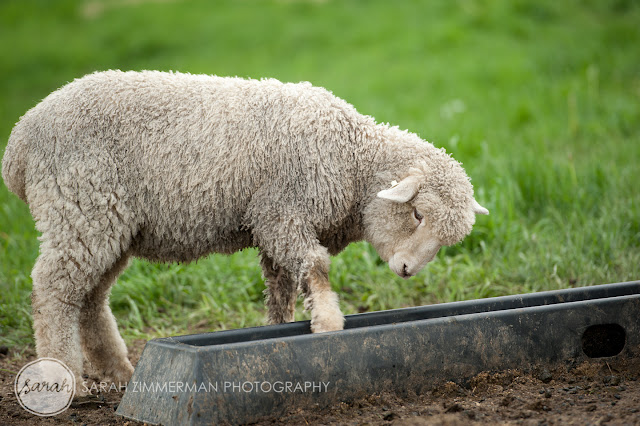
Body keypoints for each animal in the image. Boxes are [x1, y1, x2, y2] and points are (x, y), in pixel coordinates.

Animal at [2, 70, 488, 394]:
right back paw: (62, 376)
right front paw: (329, 323)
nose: (407, 269)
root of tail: (19, 143)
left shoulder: (274, 229)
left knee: (89, 297)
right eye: (418, 214)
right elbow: (316, 265)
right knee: (53, 290)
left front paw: (278, 334)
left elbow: (281, 291)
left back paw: (117, 370)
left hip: (107, 223)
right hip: (78, 206)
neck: (351, 160)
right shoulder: (281, 211)